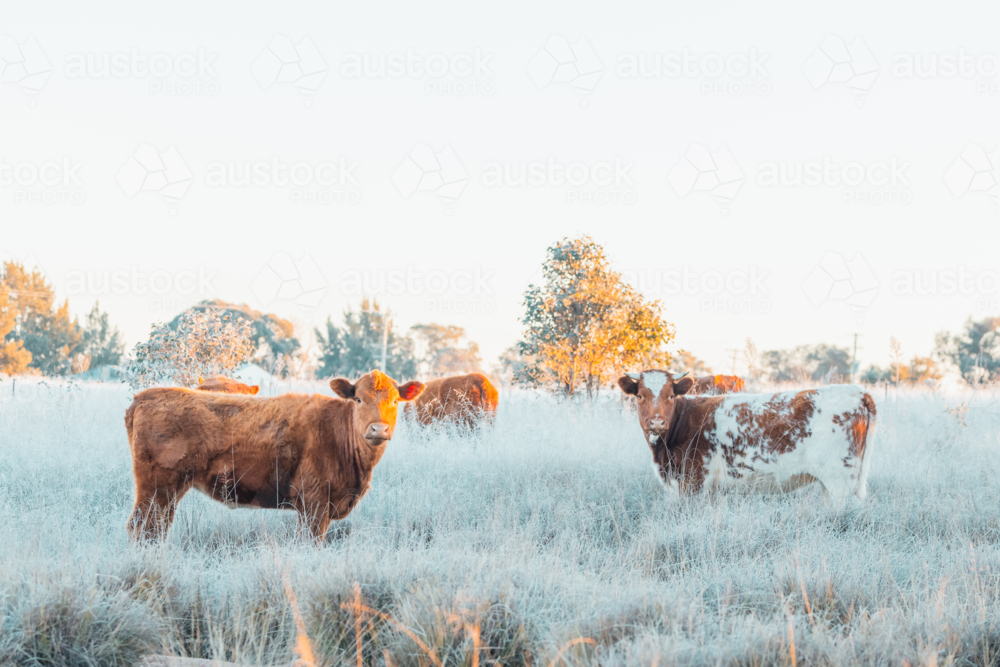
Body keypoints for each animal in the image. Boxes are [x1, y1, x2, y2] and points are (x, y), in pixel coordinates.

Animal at [124, 369, 424, 543]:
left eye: (395, 400)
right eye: (359, 399)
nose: (378, 429)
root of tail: (144, 397)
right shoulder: (314, 506)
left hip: (169, 492)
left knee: (157, 528)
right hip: (156, 489)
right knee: (141, 528)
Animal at [617, 370, 876, 507]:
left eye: (671, 396)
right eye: (639, 396)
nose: (657, 422)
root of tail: (856, 391)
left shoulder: (694, 483)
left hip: (840, 480)